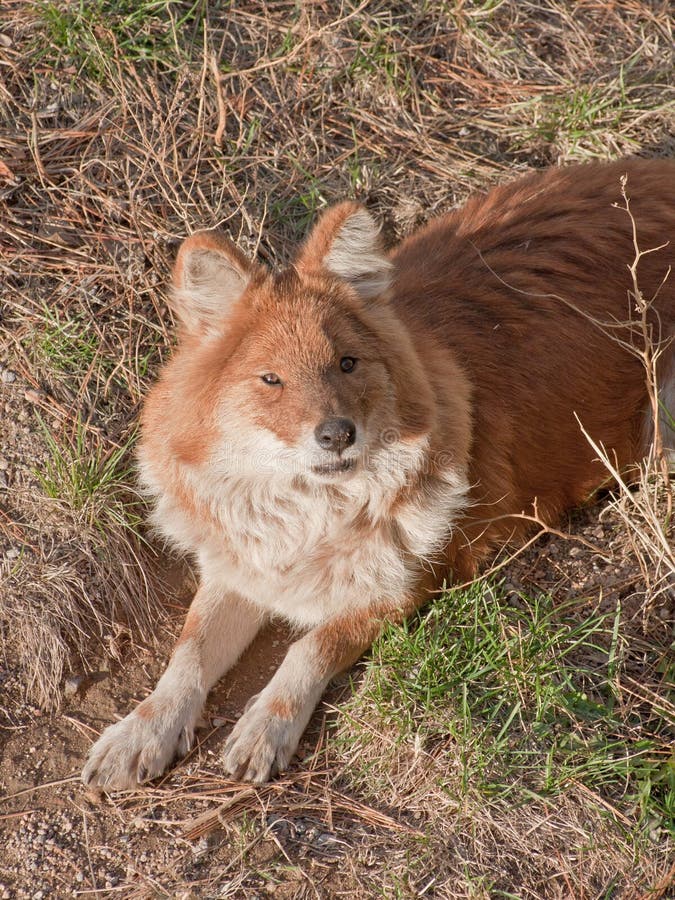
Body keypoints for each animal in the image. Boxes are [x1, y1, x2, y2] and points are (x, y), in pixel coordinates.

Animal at [83, 158, 674, 789]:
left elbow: (310, 646)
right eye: (271, 380)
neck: (309, 515)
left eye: (347, 363)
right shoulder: (242, 565)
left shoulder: (409, 583)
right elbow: (188, 653)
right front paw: (141, 731)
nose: (337, 433)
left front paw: (267, 726)